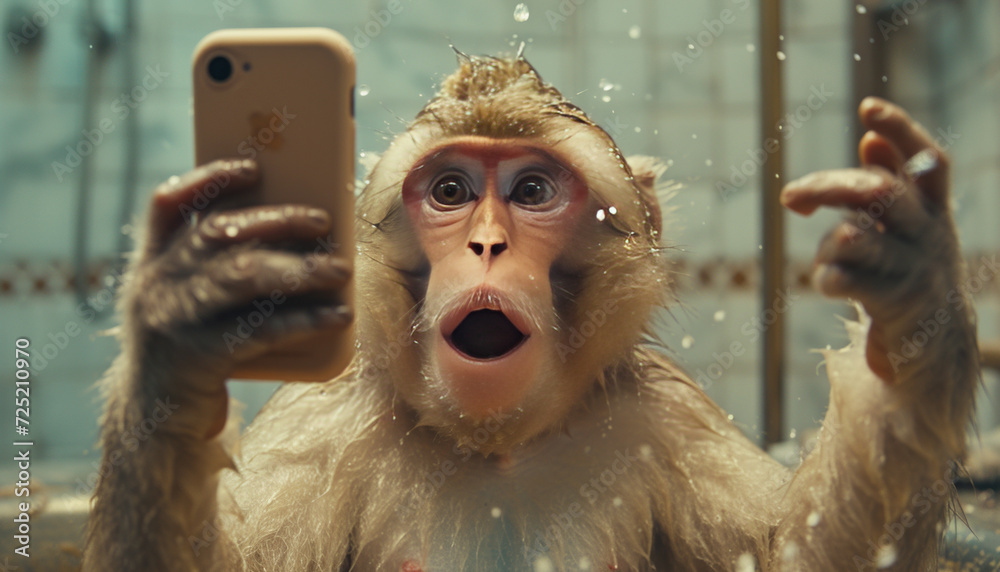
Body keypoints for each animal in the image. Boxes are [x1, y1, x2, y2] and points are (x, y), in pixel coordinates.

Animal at [83, 54, 978, 571]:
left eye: (533, 191)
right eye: (450, 191)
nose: (486, 244)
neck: (497, 447)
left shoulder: (669, 417)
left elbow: (793, 555)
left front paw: (913, 293)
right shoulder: (320, 424)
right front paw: (176, 329)